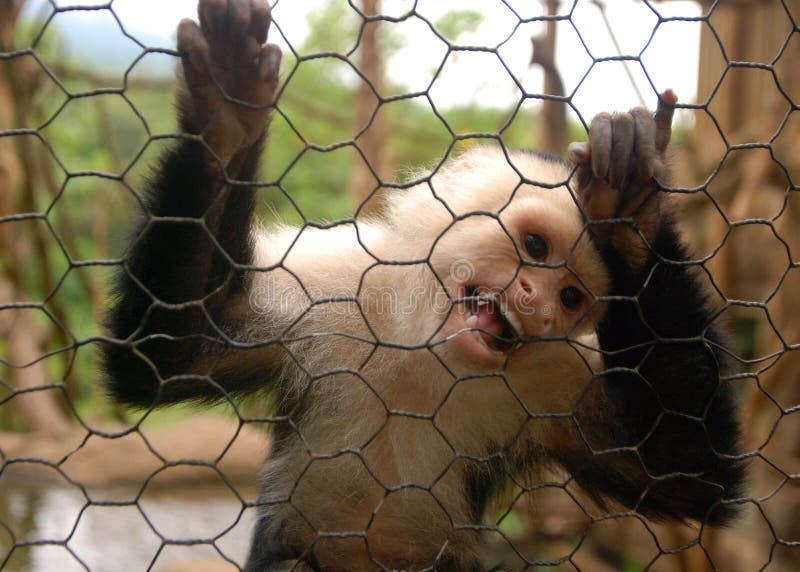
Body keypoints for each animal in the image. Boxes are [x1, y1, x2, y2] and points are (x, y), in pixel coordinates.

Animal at [100, 1, 745, 570]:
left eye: (570, 297)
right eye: (535, 247)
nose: (537, 305)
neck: (428, 356)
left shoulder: (550, 374)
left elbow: (683, 469)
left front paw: (633, 217)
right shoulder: (332, 287)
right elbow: (169, 354)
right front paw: (227, 111)